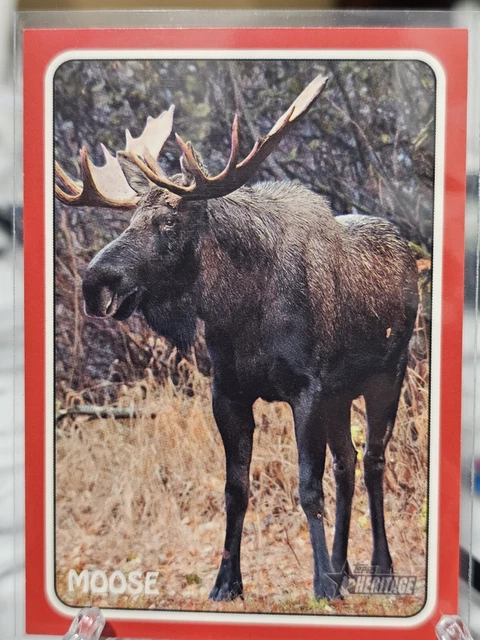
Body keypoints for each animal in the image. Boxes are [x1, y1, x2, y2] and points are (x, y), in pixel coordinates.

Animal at [55, 74, 419, 602]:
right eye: (129, 221)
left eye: (169, 222)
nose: (94, 283)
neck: (241, 315)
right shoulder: (228, 392)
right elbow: (236, 490)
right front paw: (226, 583)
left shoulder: (306, 389)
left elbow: (307, 486)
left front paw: (320, 584)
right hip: (341, 393)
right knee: (347, 462)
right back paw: (343, 568)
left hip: (388, 375)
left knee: (372, 460)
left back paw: (380, 571)